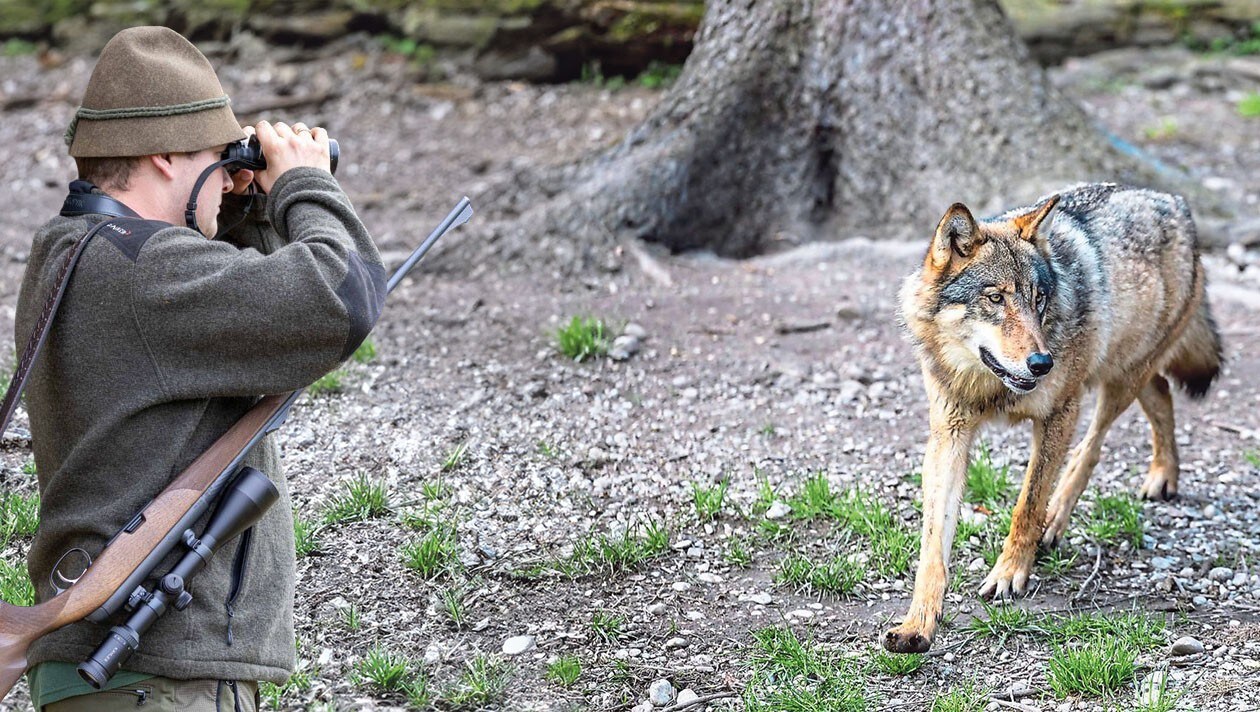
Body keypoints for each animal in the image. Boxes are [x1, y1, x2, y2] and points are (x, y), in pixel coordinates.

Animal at [883, 183, 1222, 654]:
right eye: (996, 298)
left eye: (1038, 299)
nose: (1042, 363)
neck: (988, 386)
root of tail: (1174, 201)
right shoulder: (948, 434)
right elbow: (933, 545)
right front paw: (917, 625)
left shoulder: (1058, 414)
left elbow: (1027, 505)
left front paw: (1009, 573)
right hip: (1123, 373)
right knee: (1160, 393)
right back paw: (1161, 475)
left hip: (1110, 382)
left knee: (1092, 448)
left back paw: (1063, 514)